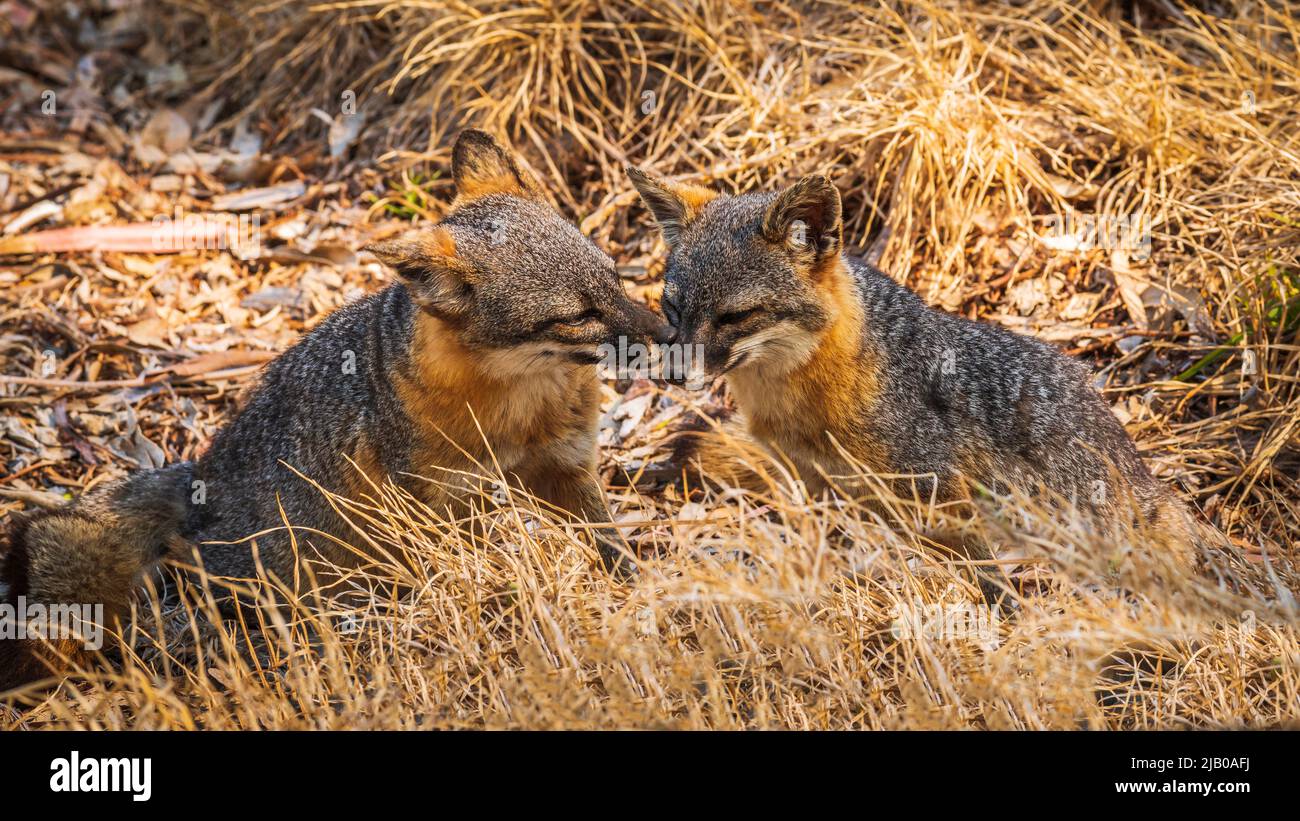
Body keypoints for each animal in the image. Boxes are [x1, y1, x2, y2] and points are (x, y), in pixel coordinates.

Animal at [0, 130, 669, 692]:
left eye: (615, 280)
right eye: (579, 315)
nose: (668, 332)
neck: (519, 407)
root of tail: (199, 479)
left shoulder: (564, 467)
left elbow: (612, 547)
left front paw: (643, 597)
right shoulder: (442, 502)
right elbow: (479, 569)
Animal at [627, 167, 1203, 567]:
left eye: (736, 316)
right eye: (673, 308)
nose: (670, 373)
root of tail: (1148, 482)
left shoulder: (940, 495)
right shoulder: (813, 484)